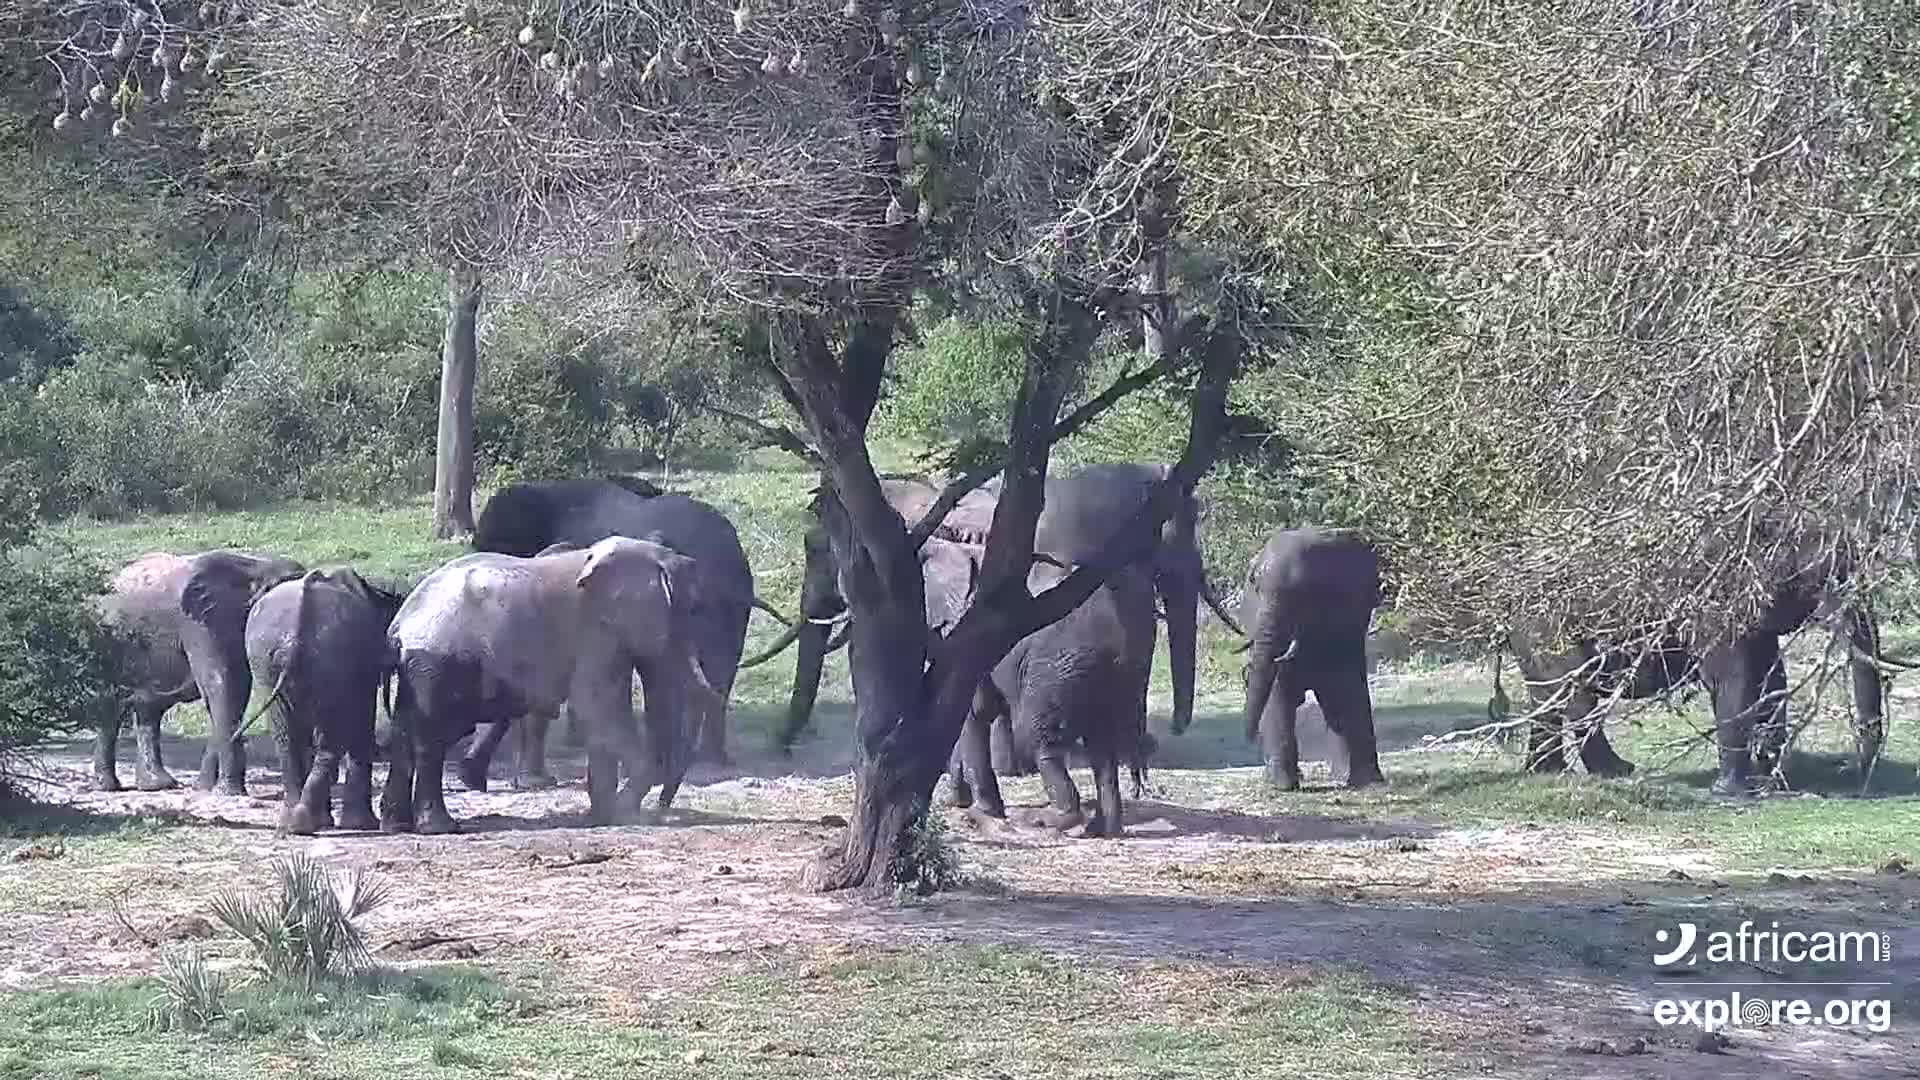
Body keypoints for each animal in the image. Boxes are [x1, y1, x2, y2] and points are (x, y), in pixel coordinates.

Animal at [94, 550, 306, 794]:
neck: (257, 569)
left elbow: (235, 690)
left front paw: (204, 788)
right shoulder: (200, 623)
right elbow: (222, 684)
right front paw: (229, 792)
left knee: (149, 706)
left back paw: (156, 784)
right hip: (108, 640)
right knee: (112, 703)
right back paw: (108, 785)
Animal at [242, 568, 408, 835]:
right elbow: (361, 718)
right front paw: (361, 825)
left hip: (268, 662)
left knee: (287, 737)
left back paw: (292, 823)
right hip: (329, 660)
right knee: (330, 738)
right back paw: (303, 822)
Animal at [382, 537, 722, 834]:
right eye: (691, 611)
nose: (661, 811)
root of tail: (399, 624)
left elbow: (602, 712)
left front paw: (602, 817)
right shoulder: (595, 632)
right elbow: (597, 709)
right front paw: (620, 814)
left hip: (420, 667)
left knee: (403, 732)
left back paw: (397, 825)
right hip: (435, 663)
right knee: (430, 737)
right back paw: (441, 828)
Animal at [944, 560, 1158, 837]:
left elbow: (975, 714)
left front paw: (981, 813)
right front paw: (958, 801)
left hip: (1058, 663)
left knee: (1037, 739)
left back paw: (1050, 820)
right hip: (1119, 669)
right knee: (1102, 746)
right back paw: (1103, 828)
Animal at [1241, 527, 1384, 791]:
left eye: (1302, 594)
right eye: (1255, 585)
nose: (1249, 737)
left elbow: (1348, 691)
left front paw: (1368, 783)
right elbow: (1277, 693)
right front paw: (1283, 786)